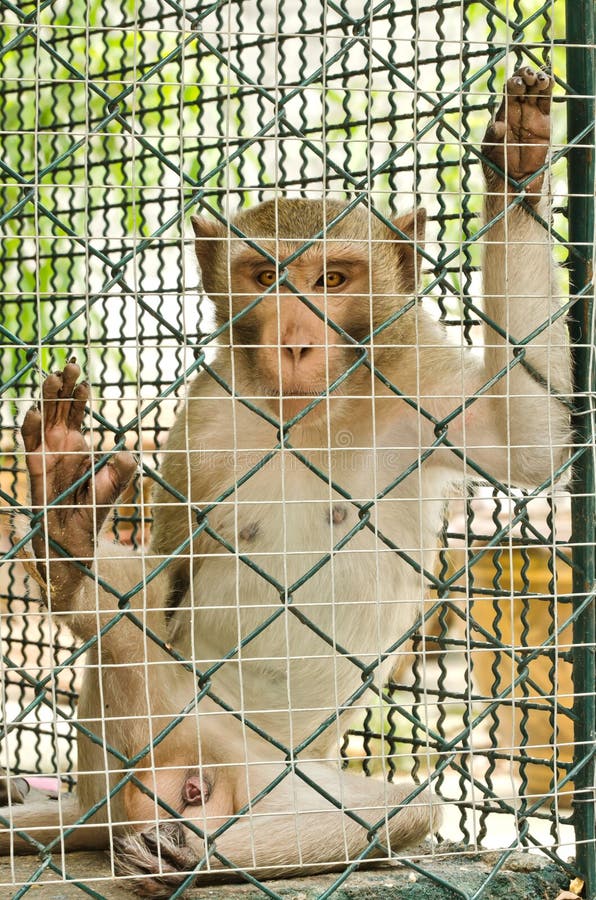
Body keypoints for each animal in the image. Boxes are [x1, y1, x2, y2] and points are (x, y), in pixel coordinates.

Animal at [0, 66, 571, 898]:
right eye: (266, 277)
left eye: (331, 278)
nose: (296, 340)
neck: (305, 417)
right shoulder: (200, 426)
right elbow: (163, 579)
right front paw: (71, 530)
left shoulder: (417, 382)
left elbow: (528, 441)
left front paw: (518, 169)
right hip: (157, 733)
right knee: (124, 638)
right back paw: (73, 555)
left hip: (288, 783)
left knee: (400, 811)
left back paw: (200, 854)